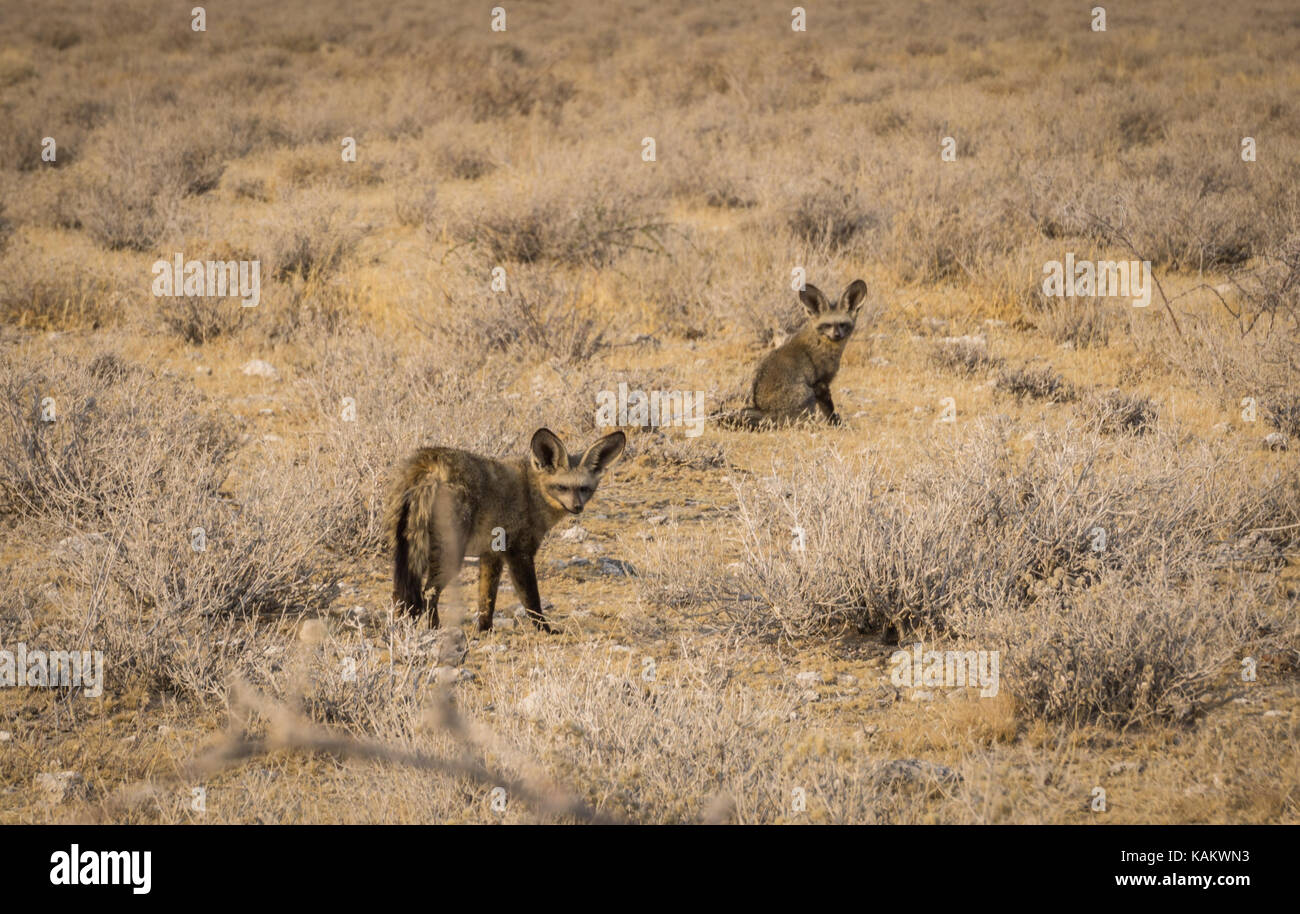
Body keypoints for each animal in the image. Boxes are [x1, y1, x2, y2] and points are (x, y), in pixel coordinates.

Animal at [385, 427, 626, 633]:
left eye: (584, 489)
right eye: (562, 487)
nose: (577, 507)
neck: (531, 492)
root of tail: (430, 461)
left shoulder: (491, 554)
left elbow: (487, 599)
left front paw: (485, 630)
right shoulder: (519, 553)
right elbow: (531, 600)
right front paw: (545, 629)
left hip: (408, 551)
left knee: (401, 595)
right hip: (449, 555)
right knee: (428, 593)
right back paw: (434, 630)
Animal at [725, 279, 868, 428]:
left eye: (842, 324)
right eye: (827, 325)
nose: (837, 335)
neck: (822, 343)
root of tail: (764, 411)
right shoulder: (820, 384)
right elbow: (829, 411)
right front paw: (837, 424)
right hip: (808, 395)